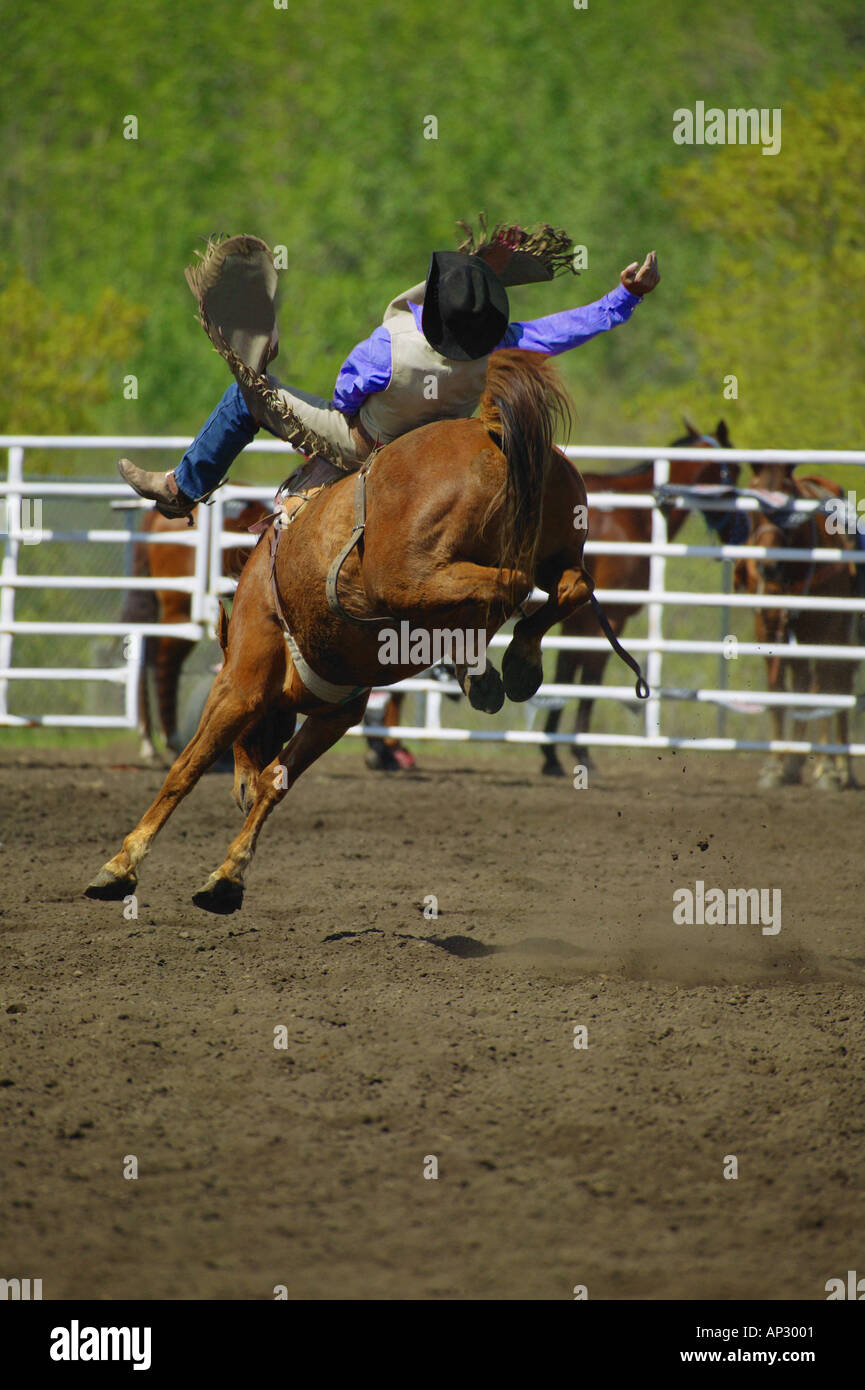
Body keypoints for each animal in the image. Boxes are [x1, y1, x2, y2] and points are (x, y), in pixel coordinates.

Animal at [86, 349, 644, 915]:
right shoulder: (340, 713)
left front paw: (121, 866)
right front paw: (227, 876)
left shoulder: (239, 686)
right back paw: (512, 665)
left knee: (515, 583)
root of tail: (490, 431)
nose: (236, 790)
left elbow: (187, 769)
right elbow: (276, 782)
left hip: (411, 576)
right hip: (557, 541)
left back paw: (493, 664)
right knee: (571, 585)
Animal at [539, 419, 740, 775]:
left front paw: (551, 753)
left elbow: (566, 676)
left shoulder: (577, 622)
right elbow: (589, 682)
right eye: (735, 472)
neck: (628, 514)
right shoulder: (607, 619)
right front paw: (581, 753)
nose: (741, 529)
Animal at [733, 463, 858, 791]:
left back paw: (842, 768)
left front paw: (828, 771)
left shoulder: (828, 635)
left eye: (790, 507)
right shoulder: (767, 628)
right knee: (805, 687)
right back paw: (796, 763)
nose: (768, 565)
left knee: (836, 689)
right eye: (753, 504)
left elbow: (827, 693)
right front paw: (776, 767)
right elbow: (779, 694)